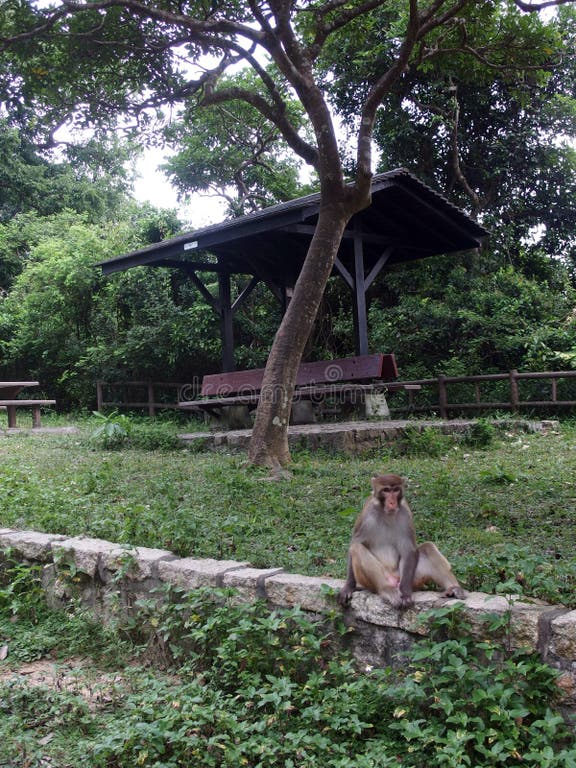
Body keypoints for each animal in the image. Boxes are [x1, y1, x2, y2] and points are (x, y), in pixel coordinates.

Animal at [338, 473, 465, 609]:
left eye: (396, 490)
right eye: (386, 490)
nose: (392, 502)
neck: (386, 513)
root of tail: (394, 580)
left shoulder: (405, 514)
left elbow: (409, 550)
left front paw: (405, 594)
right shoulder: (366, 516)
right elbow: (355, 543)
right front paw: (348, 587)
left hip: (412, 579)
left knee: (427, 548)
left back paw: (454, 588)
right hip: (375, 581)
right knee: (357, 548)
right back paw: (386, 590)